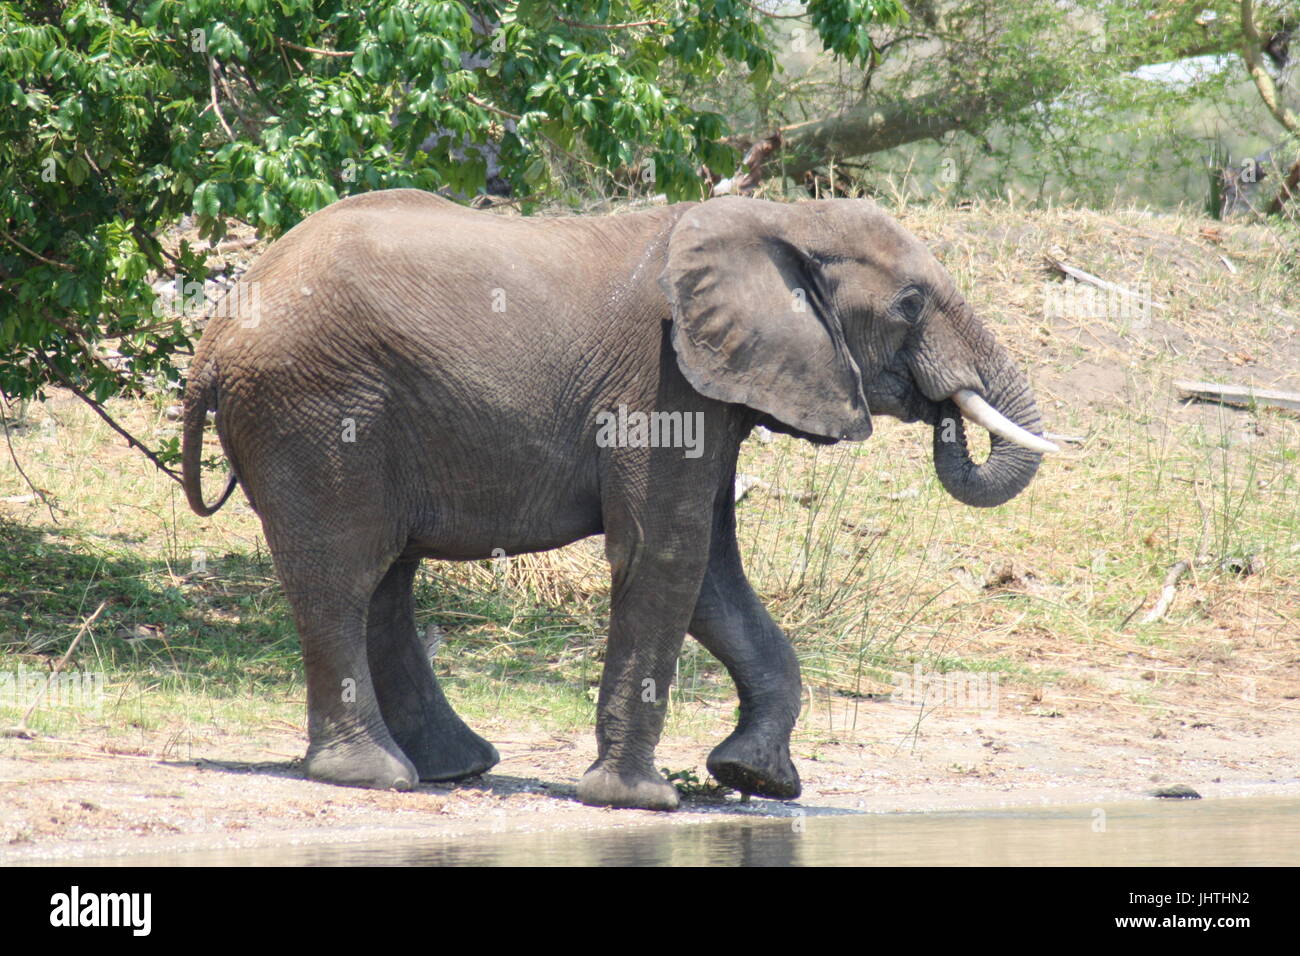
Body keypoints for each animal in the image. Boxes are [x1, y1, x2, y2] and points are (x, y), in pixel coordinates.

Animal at [181, 190, 1056, 811]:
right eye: (910, 303)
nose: (947, 413)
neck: (775, 215)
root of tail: (212, 337)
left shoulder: (708, 389)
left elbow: (711, 572)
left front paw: (754, 779)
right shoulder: (662, 378)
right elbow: (666, 553)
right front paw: (640, 802)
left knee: (387, 578)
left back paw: (457, 768)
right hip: (317, 409)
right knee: (344, 574)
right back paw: (374, 776)